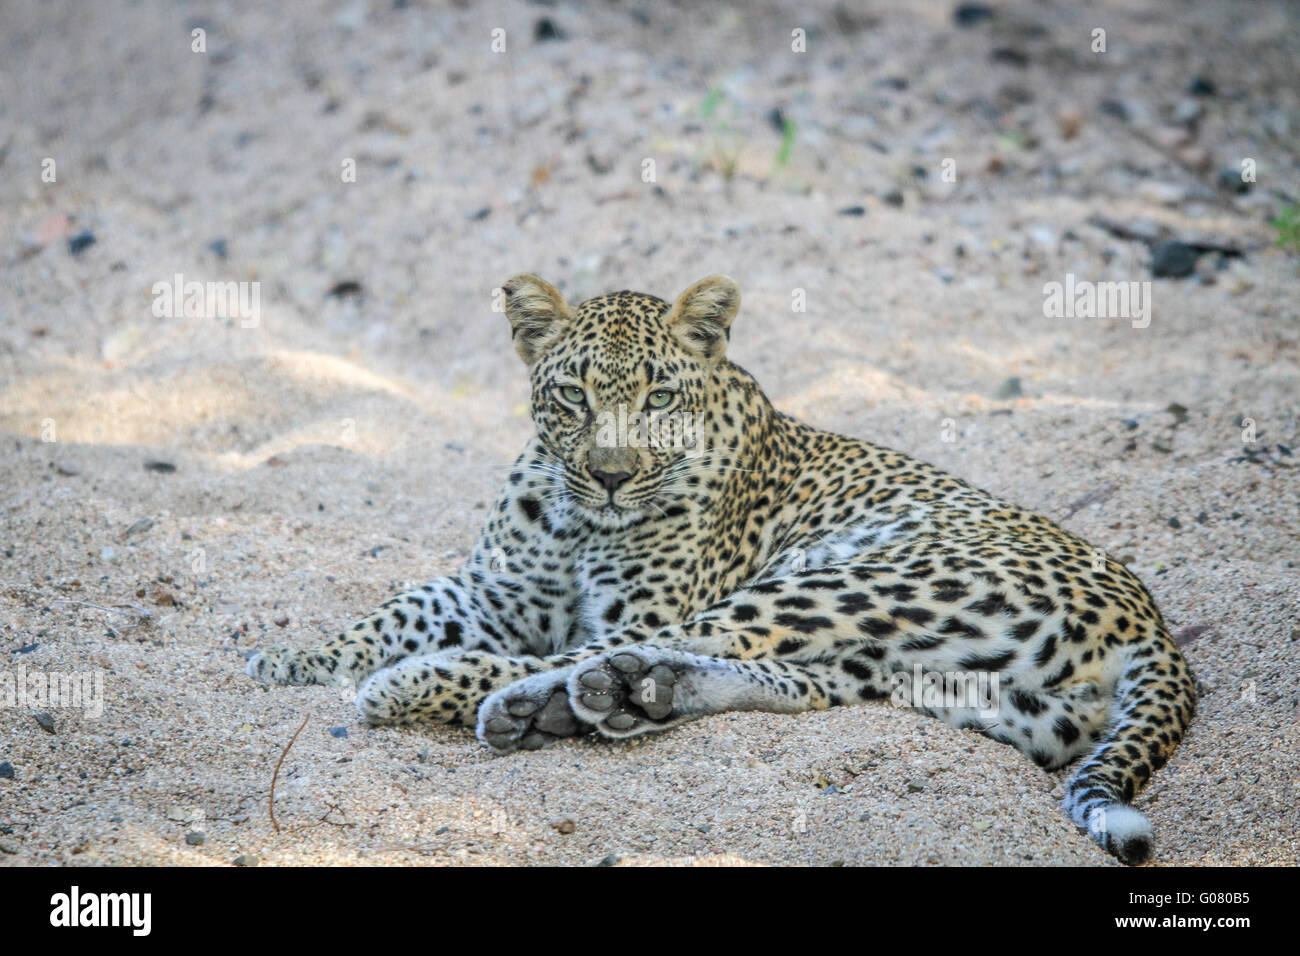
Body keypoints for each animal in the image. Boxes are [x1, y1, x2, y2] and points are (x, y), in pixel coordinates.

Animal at [247, 273, 1196, 865]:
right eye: (573, 396)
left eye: (659, 398)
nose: (612, 472)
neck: (576, 518)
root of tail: (1152, 621)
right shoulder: (493, 589)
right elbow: (395, 607)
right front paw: (292, 657)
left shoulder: (627, 609)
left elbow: (514, 638)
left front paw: (385, 674)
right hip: (950, 684)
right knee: (796, 688)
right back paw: (629, 697)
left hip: (844, 580)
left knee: (600, 656)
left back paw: (488, 697)